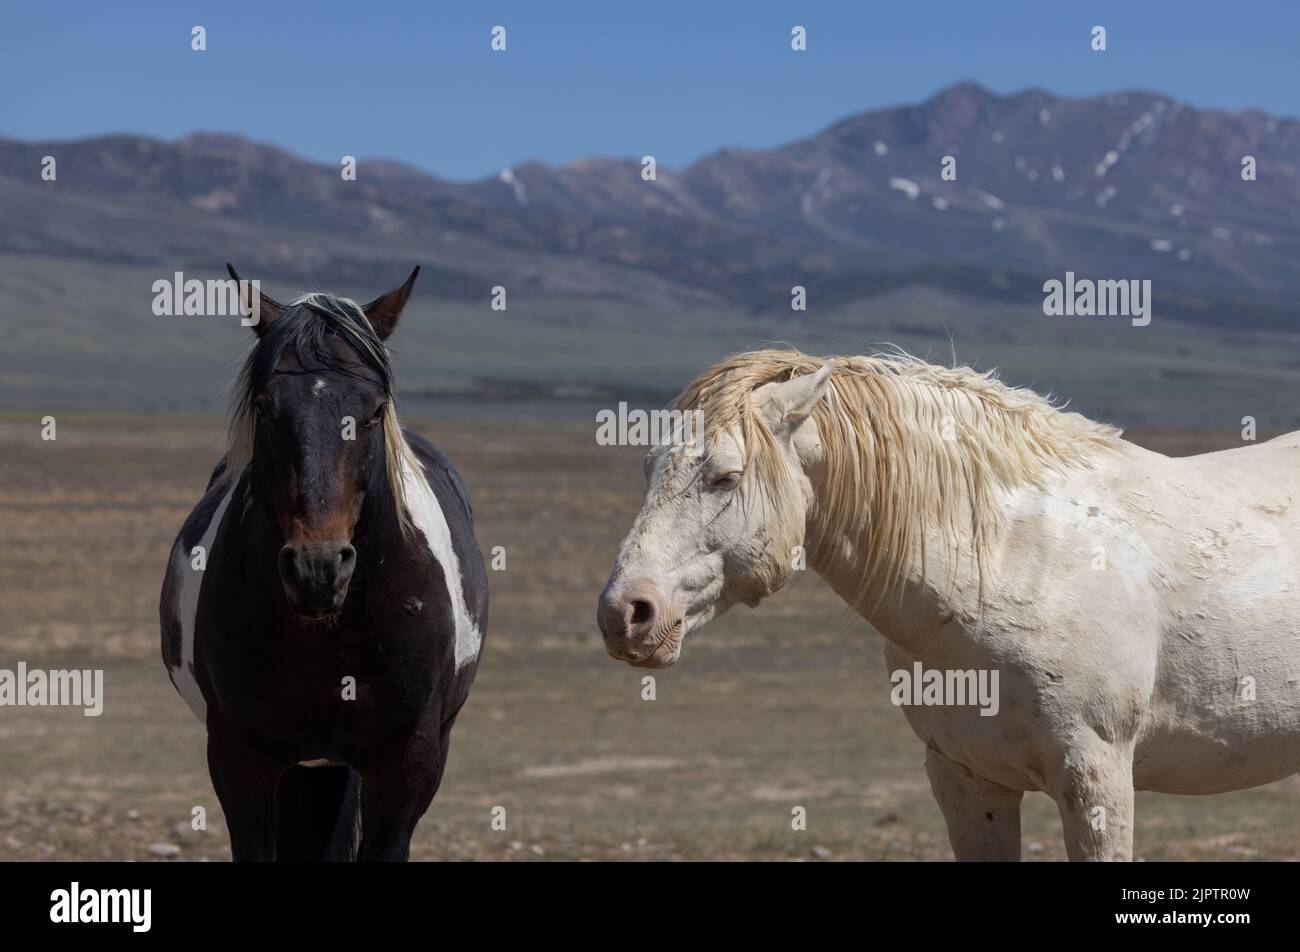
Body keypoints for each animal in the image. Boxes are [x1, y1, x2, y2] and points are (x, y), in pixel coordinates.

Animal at [597, 347, 1300, 861]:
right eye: (647, 468)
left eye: (726, 476)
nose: (624, 614)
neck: (1017, 563)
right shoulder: (965, 781)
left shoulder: (1097, 777)